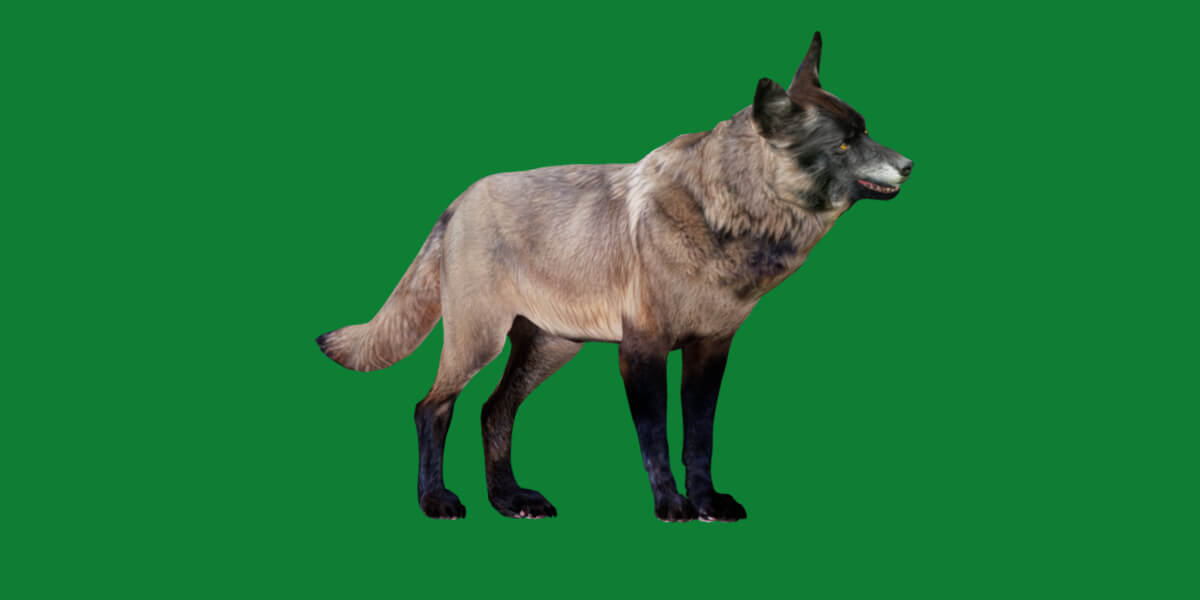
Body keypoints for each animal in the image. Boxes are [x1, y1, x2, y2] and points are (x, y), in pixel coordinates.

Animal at [317, 32, 913, 522]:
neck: (725, 216)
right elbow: (657, 439)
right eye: (844, 143)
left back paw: (509, 500)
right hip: (479, 342)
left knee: (493, 410)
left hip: (552, 349)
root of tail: (458, 202)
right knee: (432, 408)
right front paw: (672, 506)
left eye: (866, 131)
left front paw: (707, 503)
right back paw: (436, 500)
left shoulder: (710, 351)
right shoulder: (641, 351)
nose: (909, 165)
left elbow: (700, 438)